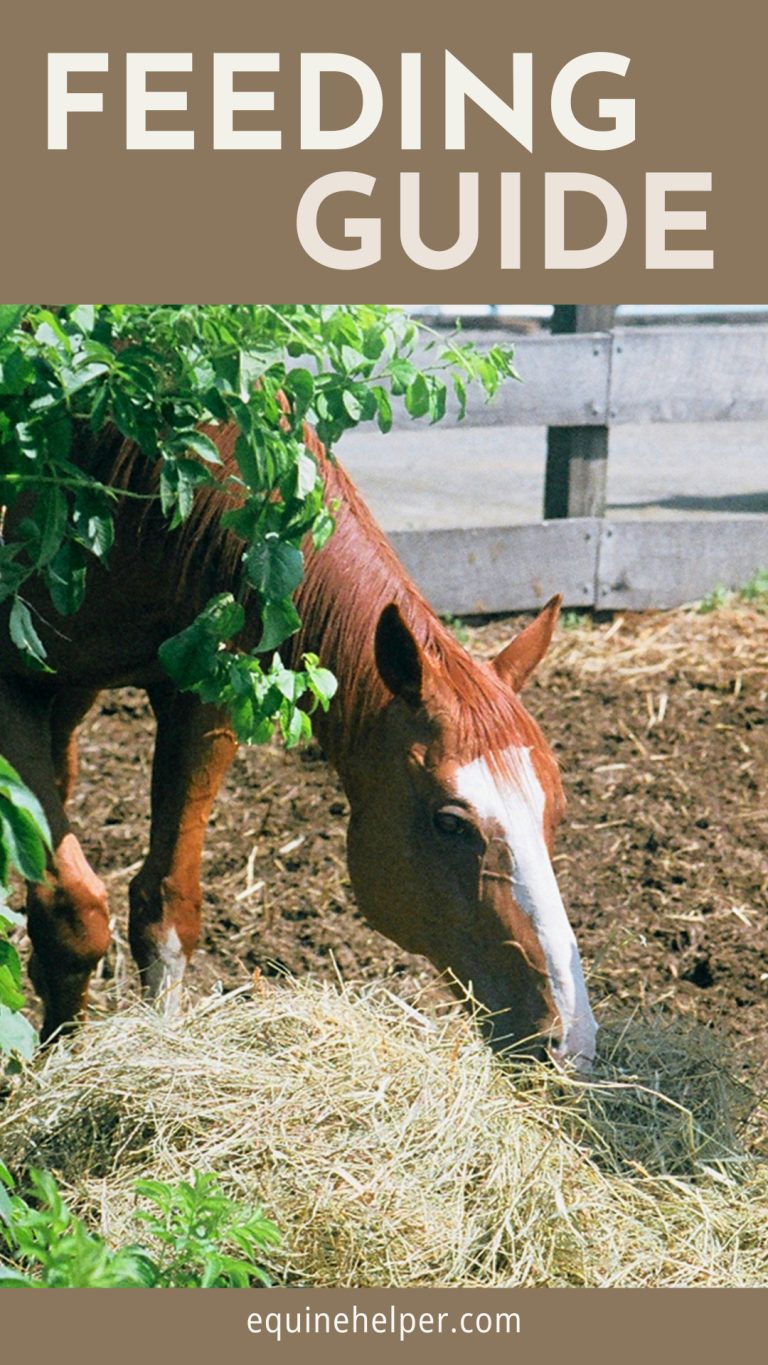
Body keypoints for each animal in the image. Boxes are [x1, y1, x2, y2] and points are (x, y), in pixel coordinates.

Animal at [0, 418, 597, 1065]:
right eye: (449, 822)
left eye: (556, 812)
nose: (570, 1038)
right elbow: (73, 916)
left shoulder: (204, 695)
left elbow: (166, 909)